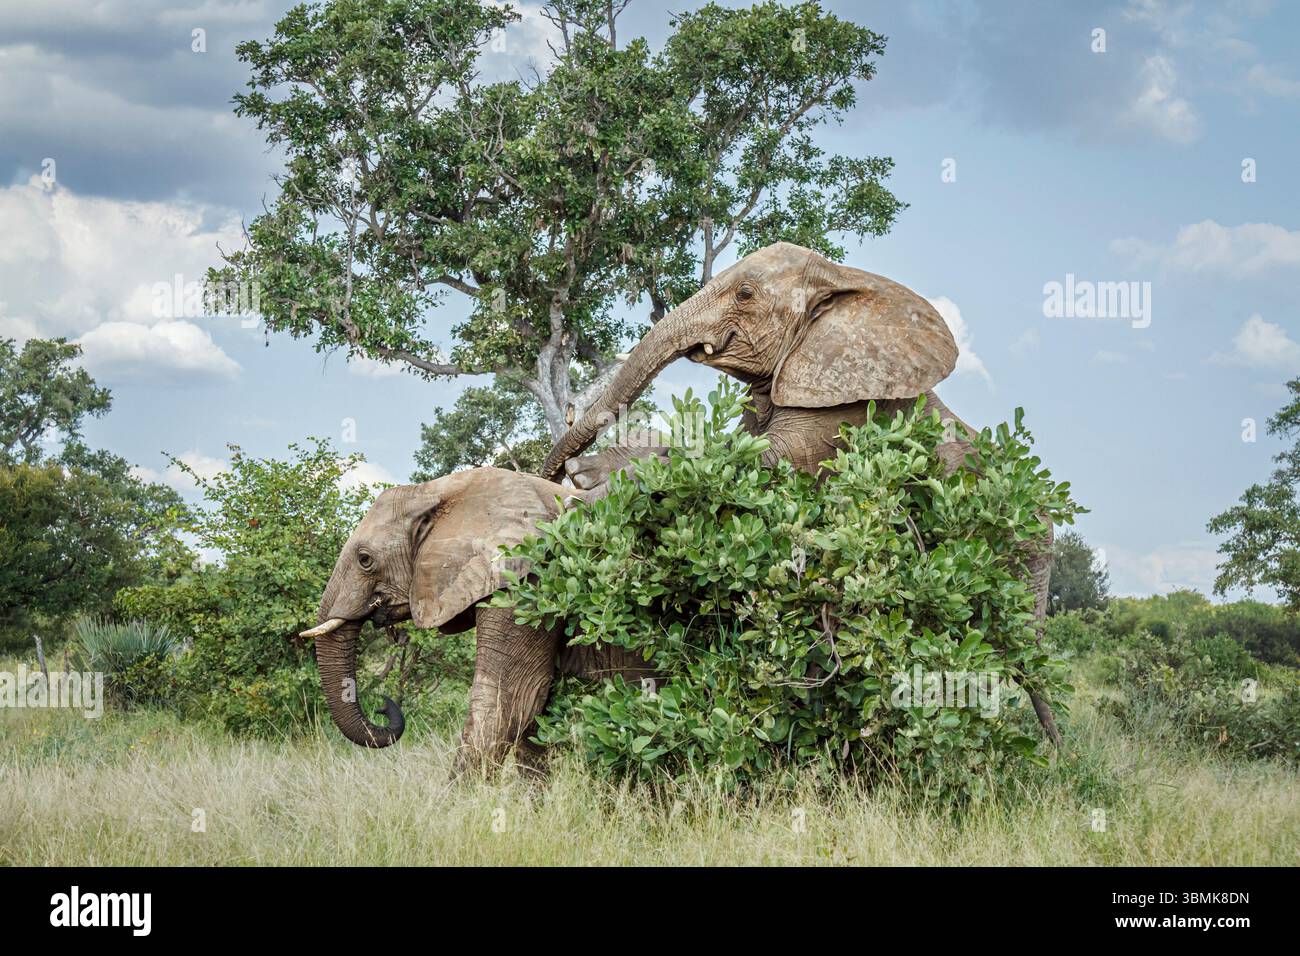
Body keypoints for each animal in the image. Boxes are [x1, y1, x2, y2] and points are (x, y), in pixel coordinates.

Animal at [301, 466, 652, 771]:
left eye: (365, 560)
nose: (383, 705)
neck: (436, 490)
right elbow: (538, 707)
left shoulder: (528, 577)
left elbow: (512, 698)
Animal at [540, 241, 1061, 745]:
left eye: (745, 294)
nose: (558, 468)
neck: (838, 279)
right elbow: (728, 445)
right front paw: (589, 473)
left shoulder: (844, 410)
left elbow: (755, 461)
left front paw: (588, 483)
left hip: (1025, 568)